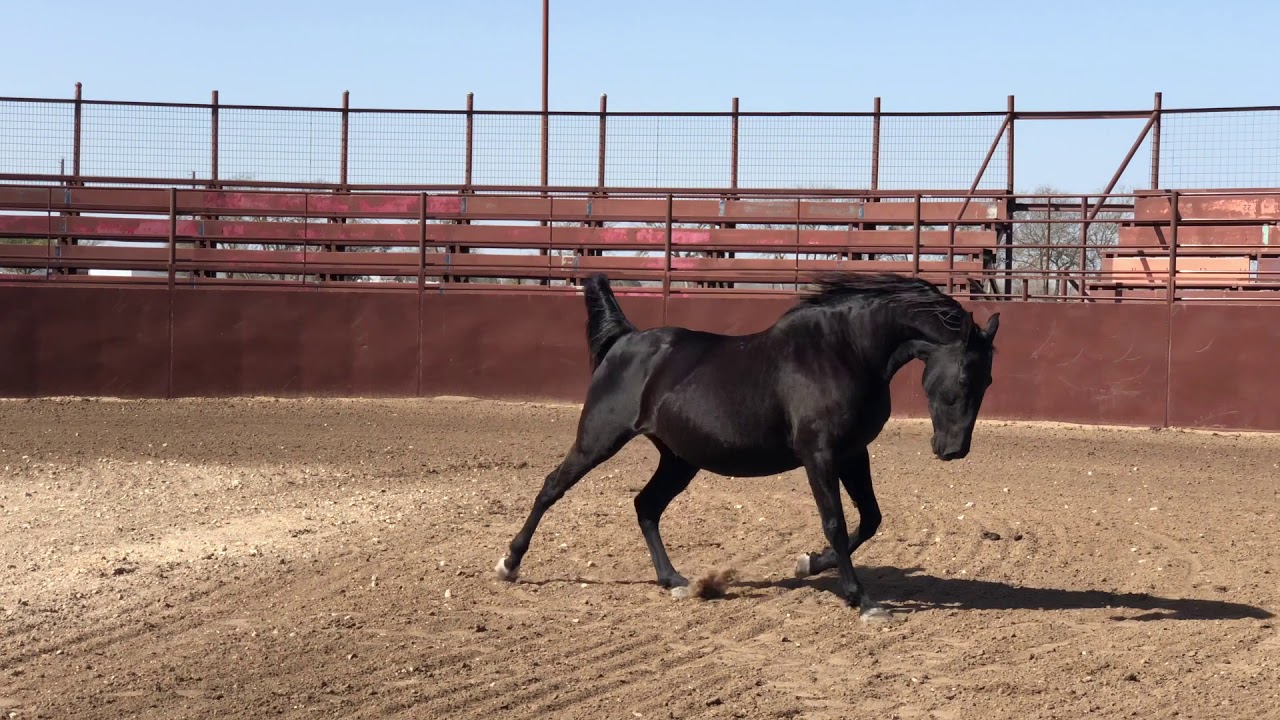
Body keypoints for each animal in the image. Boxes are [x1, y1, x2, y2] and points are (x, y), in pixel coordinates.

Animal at [495, 272, 1000, 621]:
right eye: (963, 378)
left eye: (989, 381)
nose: (953, 450)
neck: (844, 351)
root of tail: (626, 340)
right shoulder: (819, 454)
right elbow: (836, 523)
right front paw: (862, 600)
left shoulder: (854, 452)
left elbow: (869, 520)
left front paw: (808, 564)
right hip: (599, 439)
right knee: (551, 487)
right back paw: (509, 564)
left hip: (679, 459)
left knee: (646, 506)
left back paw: (674, 581)